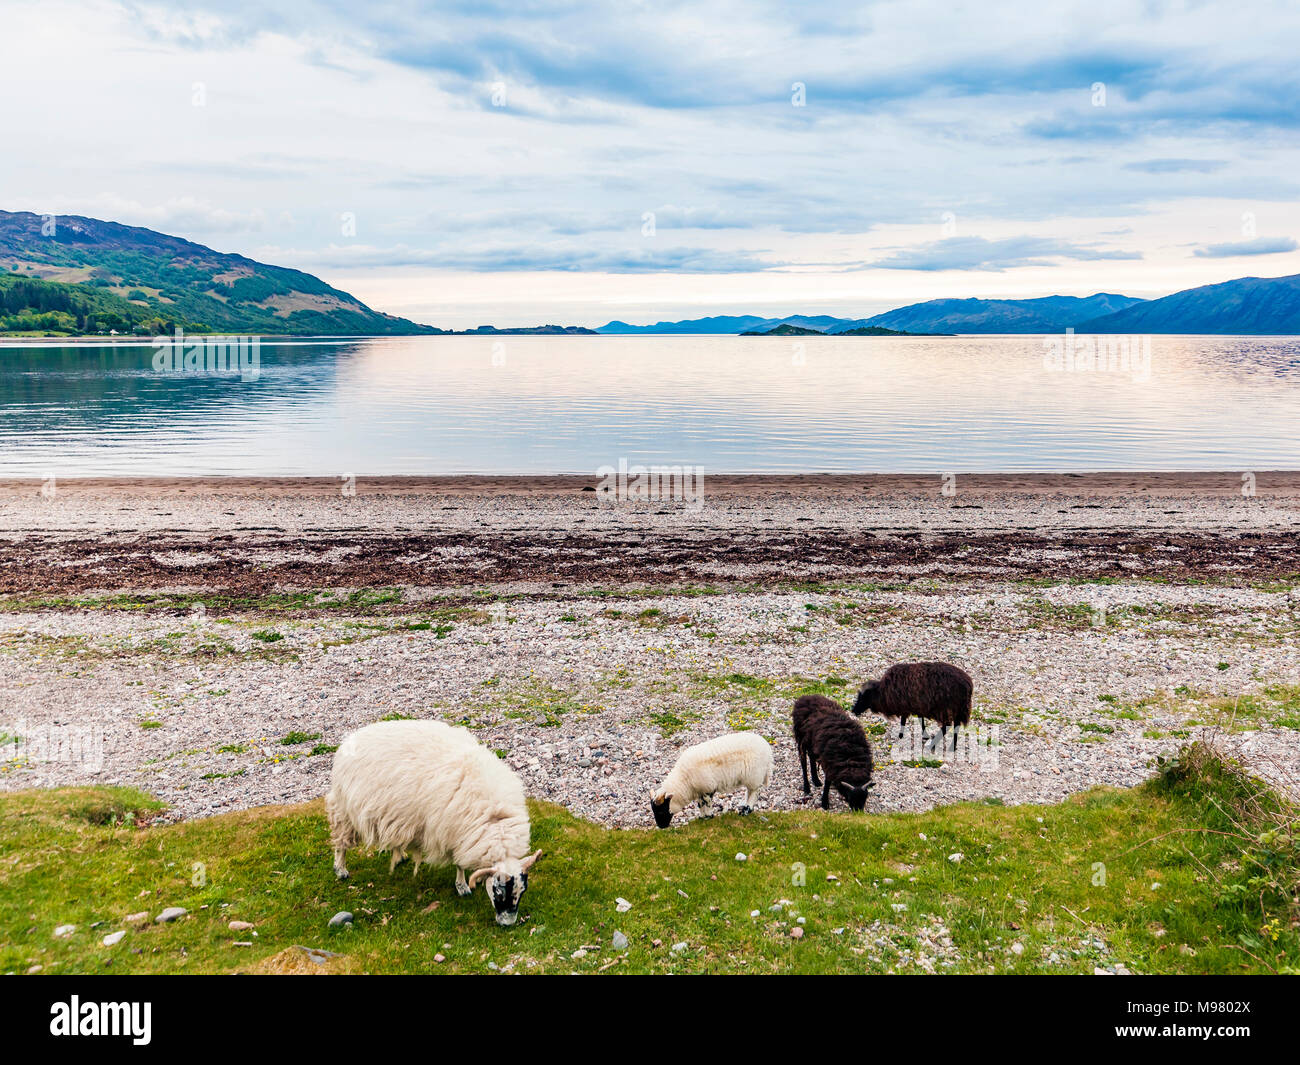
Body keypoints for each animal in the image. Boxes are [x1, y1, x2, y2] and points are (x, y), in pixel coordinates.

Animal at [330, 723, 548, 931]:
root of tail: (350, 739)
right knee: (341, 843)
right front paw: (462, 886)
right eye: (498, 891)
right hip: (344, 810)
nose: (507, 925)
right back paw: (340, 870)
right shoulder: (454, 833)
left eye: (523, 891)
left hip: (392, 811)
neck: (495, 820)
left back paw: (399, 855)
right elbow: (460, 864)